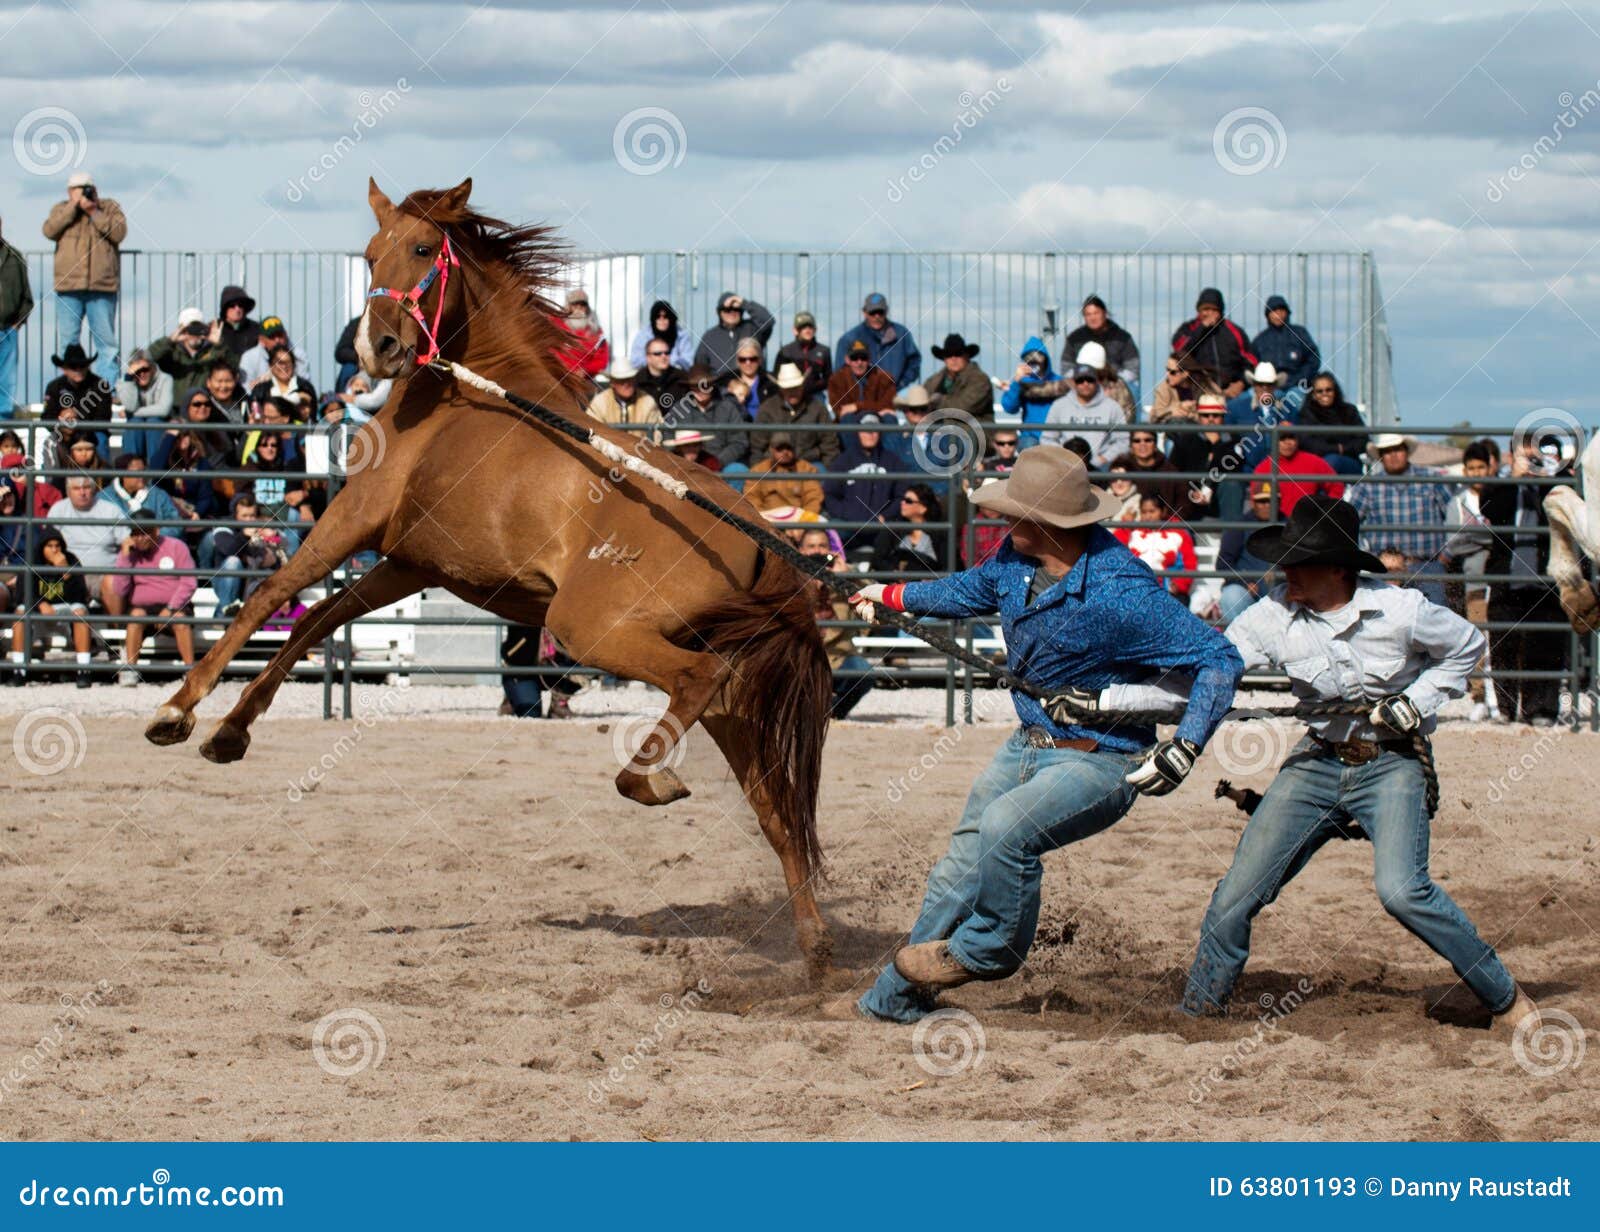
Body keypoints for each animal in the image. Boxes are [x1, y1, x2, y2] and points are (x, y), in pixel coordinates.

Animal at [143, 178, 837, 979]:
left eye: (422, 249)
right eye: (369, 253)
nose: (376, 347)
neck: (466, 396)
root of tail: (762, 539)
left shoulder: (354, 517)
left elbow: (272, 596)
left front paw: (177, 711)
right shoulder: (407, 562)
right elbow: (320, 619)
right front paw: (232, 730)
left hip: (592, 629)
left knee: (701, 684)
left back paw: (649, 780)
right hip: (707, 676)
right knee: (773, 803)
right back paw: (813, 946)